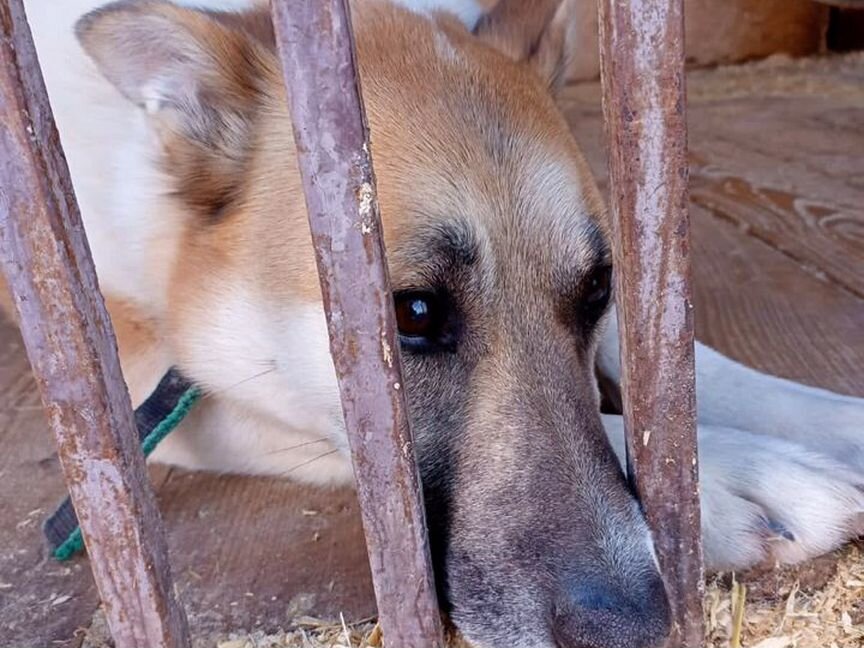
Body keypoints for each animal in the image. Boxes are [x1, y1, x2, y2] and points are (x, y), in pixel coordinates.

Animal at [11, 0, 864, 644]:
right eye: (411, 313)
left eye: (596, 290)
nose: (628, 630)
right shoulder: (133, 394)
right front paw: (734, 472)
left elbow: (680, 354)